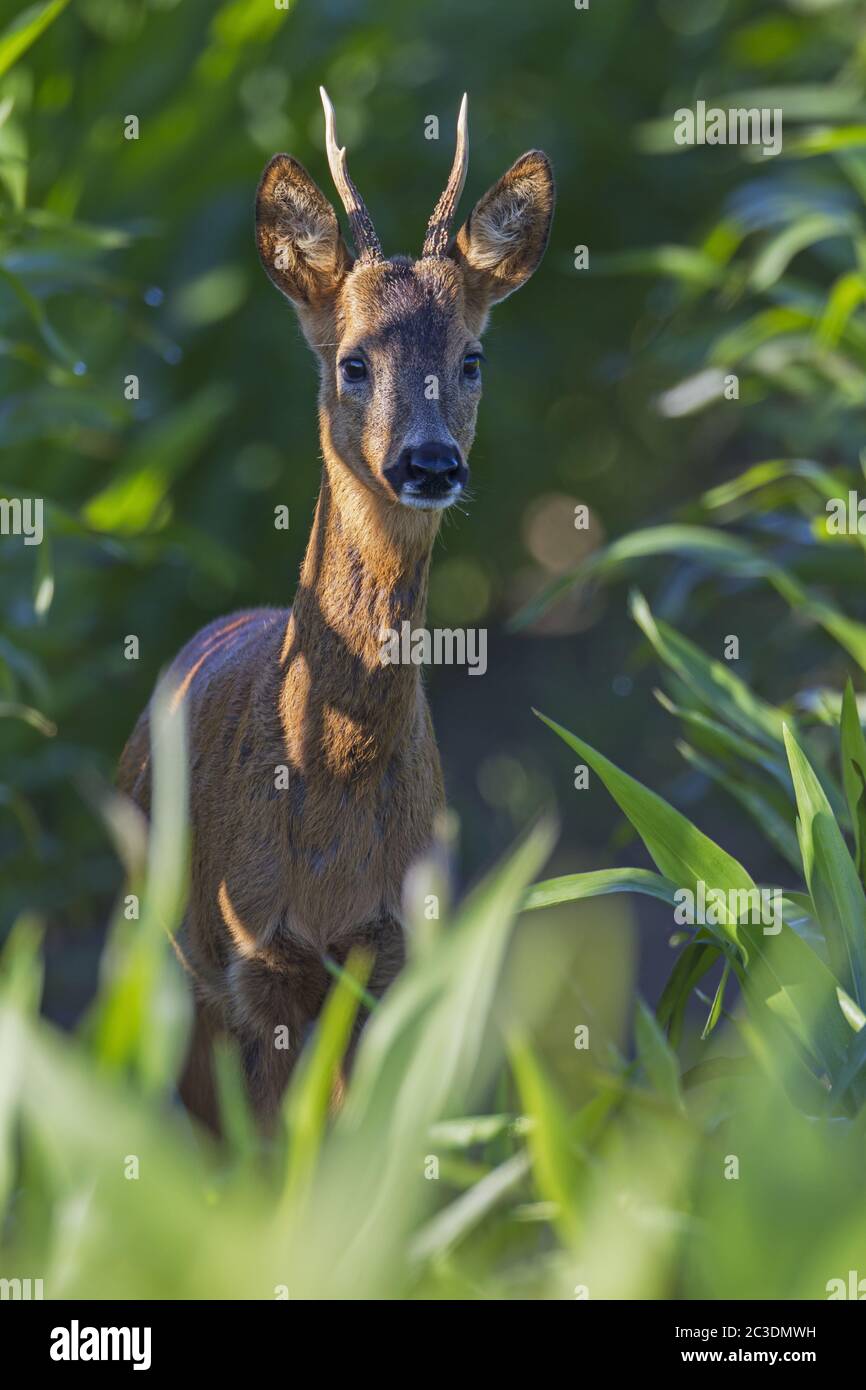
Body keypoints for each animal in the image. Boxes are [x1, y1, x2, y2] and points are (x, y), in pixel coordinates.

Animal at [117, 89, 555, 1130]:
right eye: (354, 363)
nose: (429, 462)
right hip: (165, 958)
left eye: (471, 358)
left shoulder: (396, 951)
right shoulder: (253, 963)